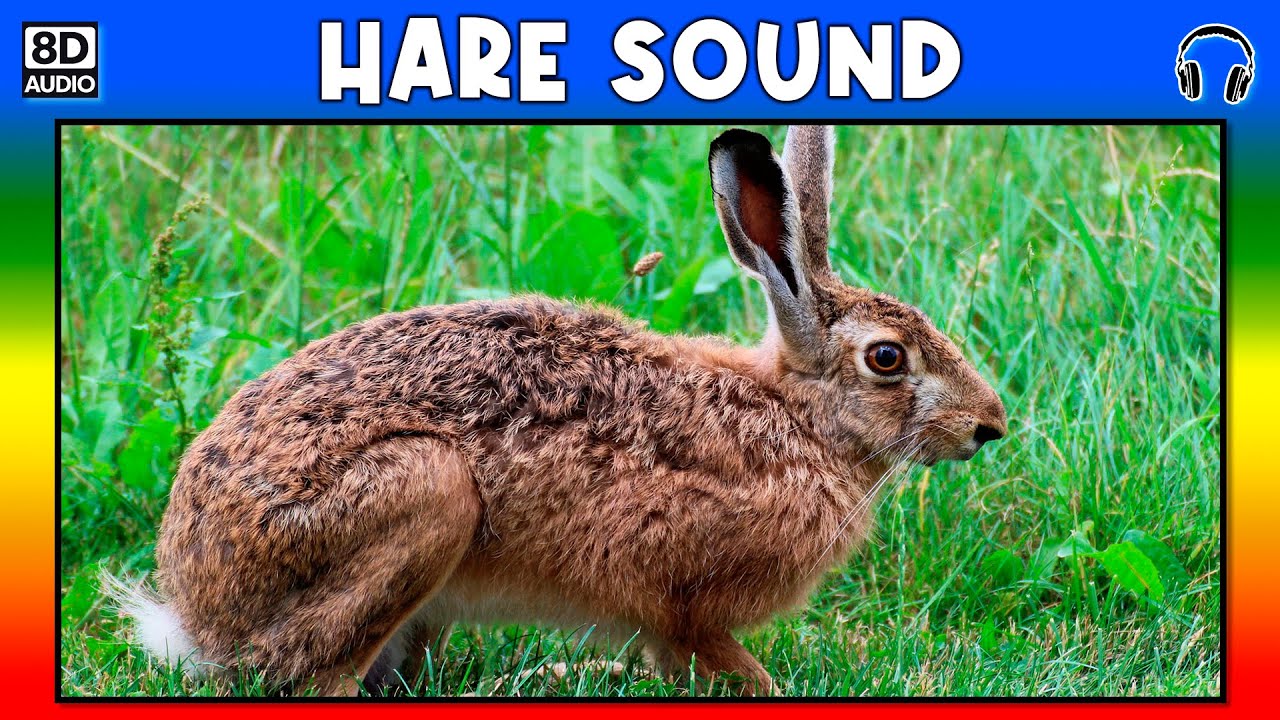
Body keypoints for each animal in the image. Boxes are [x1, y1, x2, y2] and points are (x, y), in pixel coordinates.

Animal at [107, 125, 1006, 697]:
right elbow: (718, 659)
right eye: (887, 358)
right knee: (311, 679)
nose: (988, 426)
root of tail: (195, 610)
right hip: (425, 490)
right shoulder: (684, 601)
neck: (798, 416)